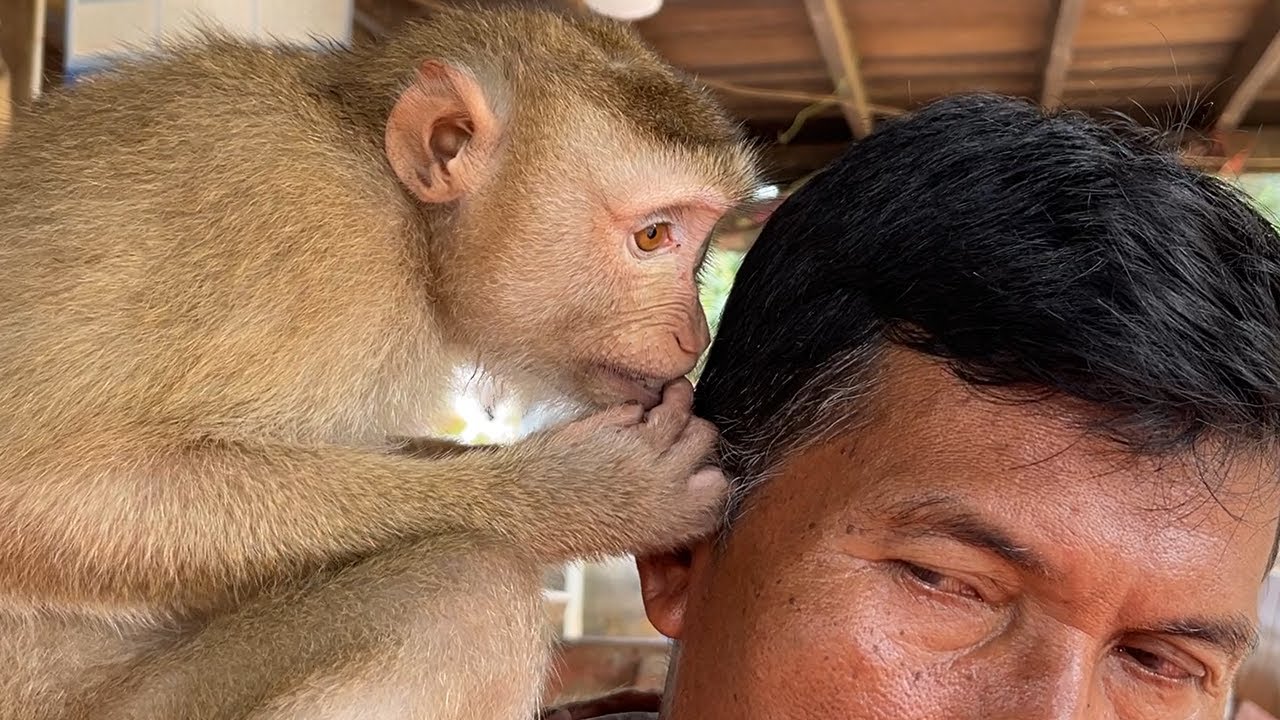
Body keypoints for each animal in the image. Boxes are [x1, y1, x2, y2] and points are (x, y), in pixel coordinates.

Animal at [0, 6, 760, 720]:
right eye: (654, 235)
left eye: (700, 247)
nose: (694, 336)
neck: (400, 211)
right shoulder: (297, 228)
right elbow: (44, 493)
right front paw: (582, 494)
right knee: (466, 598)